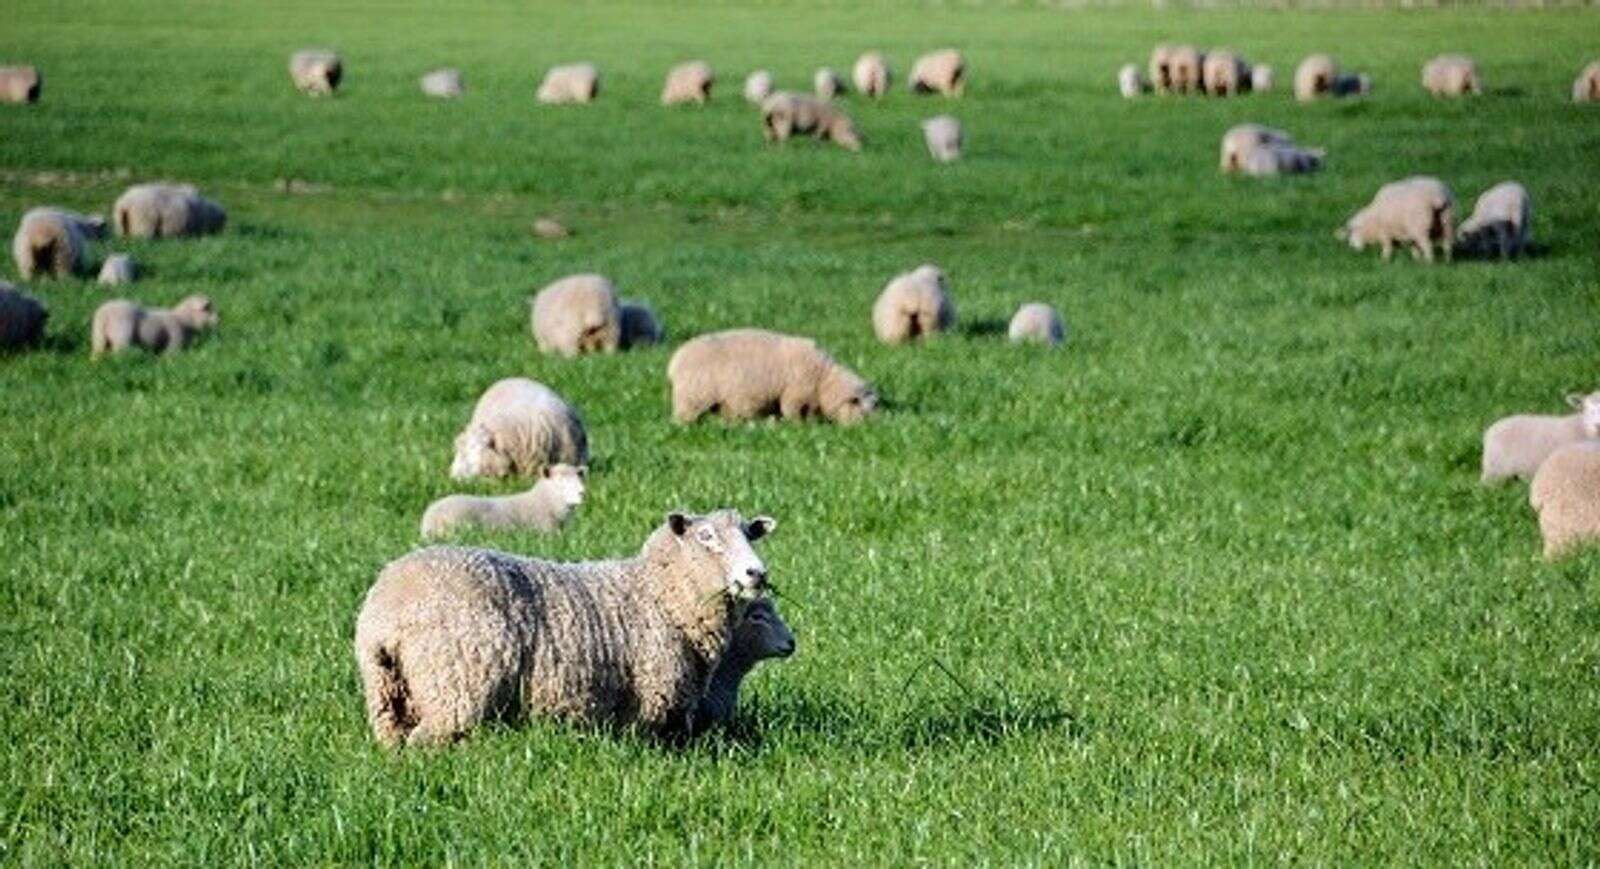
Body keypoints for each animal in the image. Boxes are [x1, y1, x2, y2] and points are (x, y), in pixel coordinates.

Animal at [354, 509, 778, 745]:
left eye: (750, 534)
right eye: (706, 537)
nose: (756, 573)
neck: (660, 593)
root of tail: (387, 609)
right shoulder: (650, 703)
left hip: (387, 694)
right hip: (455, 686)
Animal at [421, 464, 586, 539]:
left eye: (579, 479)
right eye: (560, 481)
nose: (582, 493)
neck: (544, 500)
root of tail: (429, 518)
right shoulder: (545, 530)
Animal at [668, 328, 878, 425]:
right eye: (863, 409)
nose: (874, 428)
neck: (824, 379)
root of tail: (676, 360)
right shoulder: (796, 394)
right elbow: (795, 412)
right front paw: (802, 426)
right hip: (693, 397)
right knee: (684, 418)